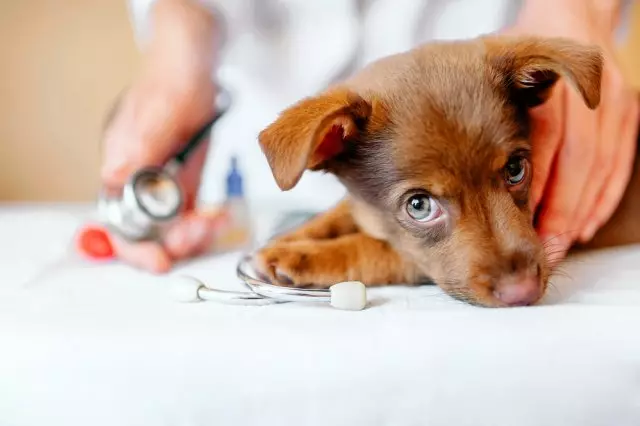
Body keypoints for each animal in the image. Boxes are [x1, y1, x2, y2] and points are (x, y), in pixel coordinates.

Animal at [252, 35, 636, 306]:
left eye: (516, 170)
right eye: (419, 206)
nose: (522, 292)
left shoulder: (414, 259)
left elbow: (372, 248)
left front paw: (300, 255)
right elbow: (343, 212)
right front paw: (294, 236)